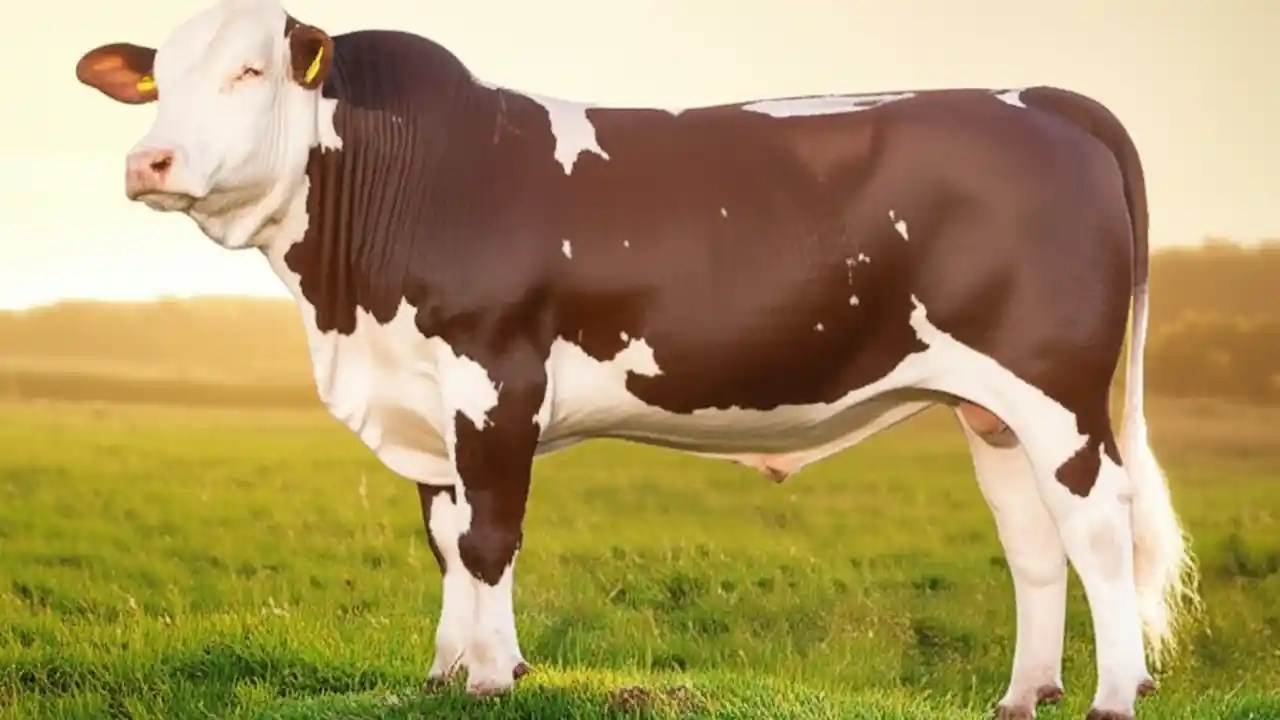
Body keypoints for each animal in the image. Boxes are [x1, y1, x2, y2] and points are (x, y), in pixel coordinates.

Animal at [74, 1, 1199, 717]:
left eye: (251, 71)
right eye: (159, 83)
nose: (147, 161)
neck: (349, 301)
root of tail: (1035, 96)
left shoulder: (495, 375)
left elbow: (489, 536)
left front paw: (493, 677)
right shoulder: (424, 400)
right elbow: (446, 537)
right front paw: (445, 675)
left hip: (1055, 389)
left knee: (1098, 525)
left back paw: (1110, 697)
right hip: (989, 406)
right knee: (1032, 539)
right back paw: (1022, 695)